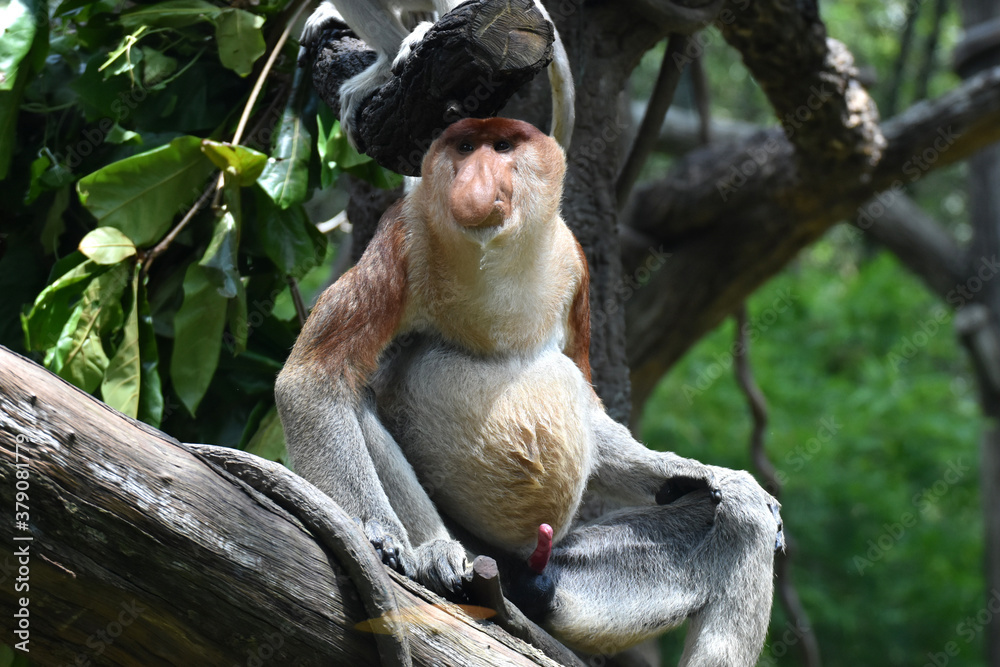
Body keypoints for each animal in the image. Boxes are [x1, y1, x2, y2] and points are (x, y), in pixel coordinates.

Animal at [275, 116, 782, 663]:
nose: (474, 179)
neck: (495, 254)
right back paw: (437, 553)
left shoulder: (574, 259)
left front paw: (710, 475)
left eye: (501, 147)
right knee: (361, 401)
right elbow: (312, 379)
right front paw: (383, 535)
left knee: (737, 525)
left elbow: (593, 411)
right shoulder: (401, 238)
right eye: (465, 147)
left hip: (562, 566)